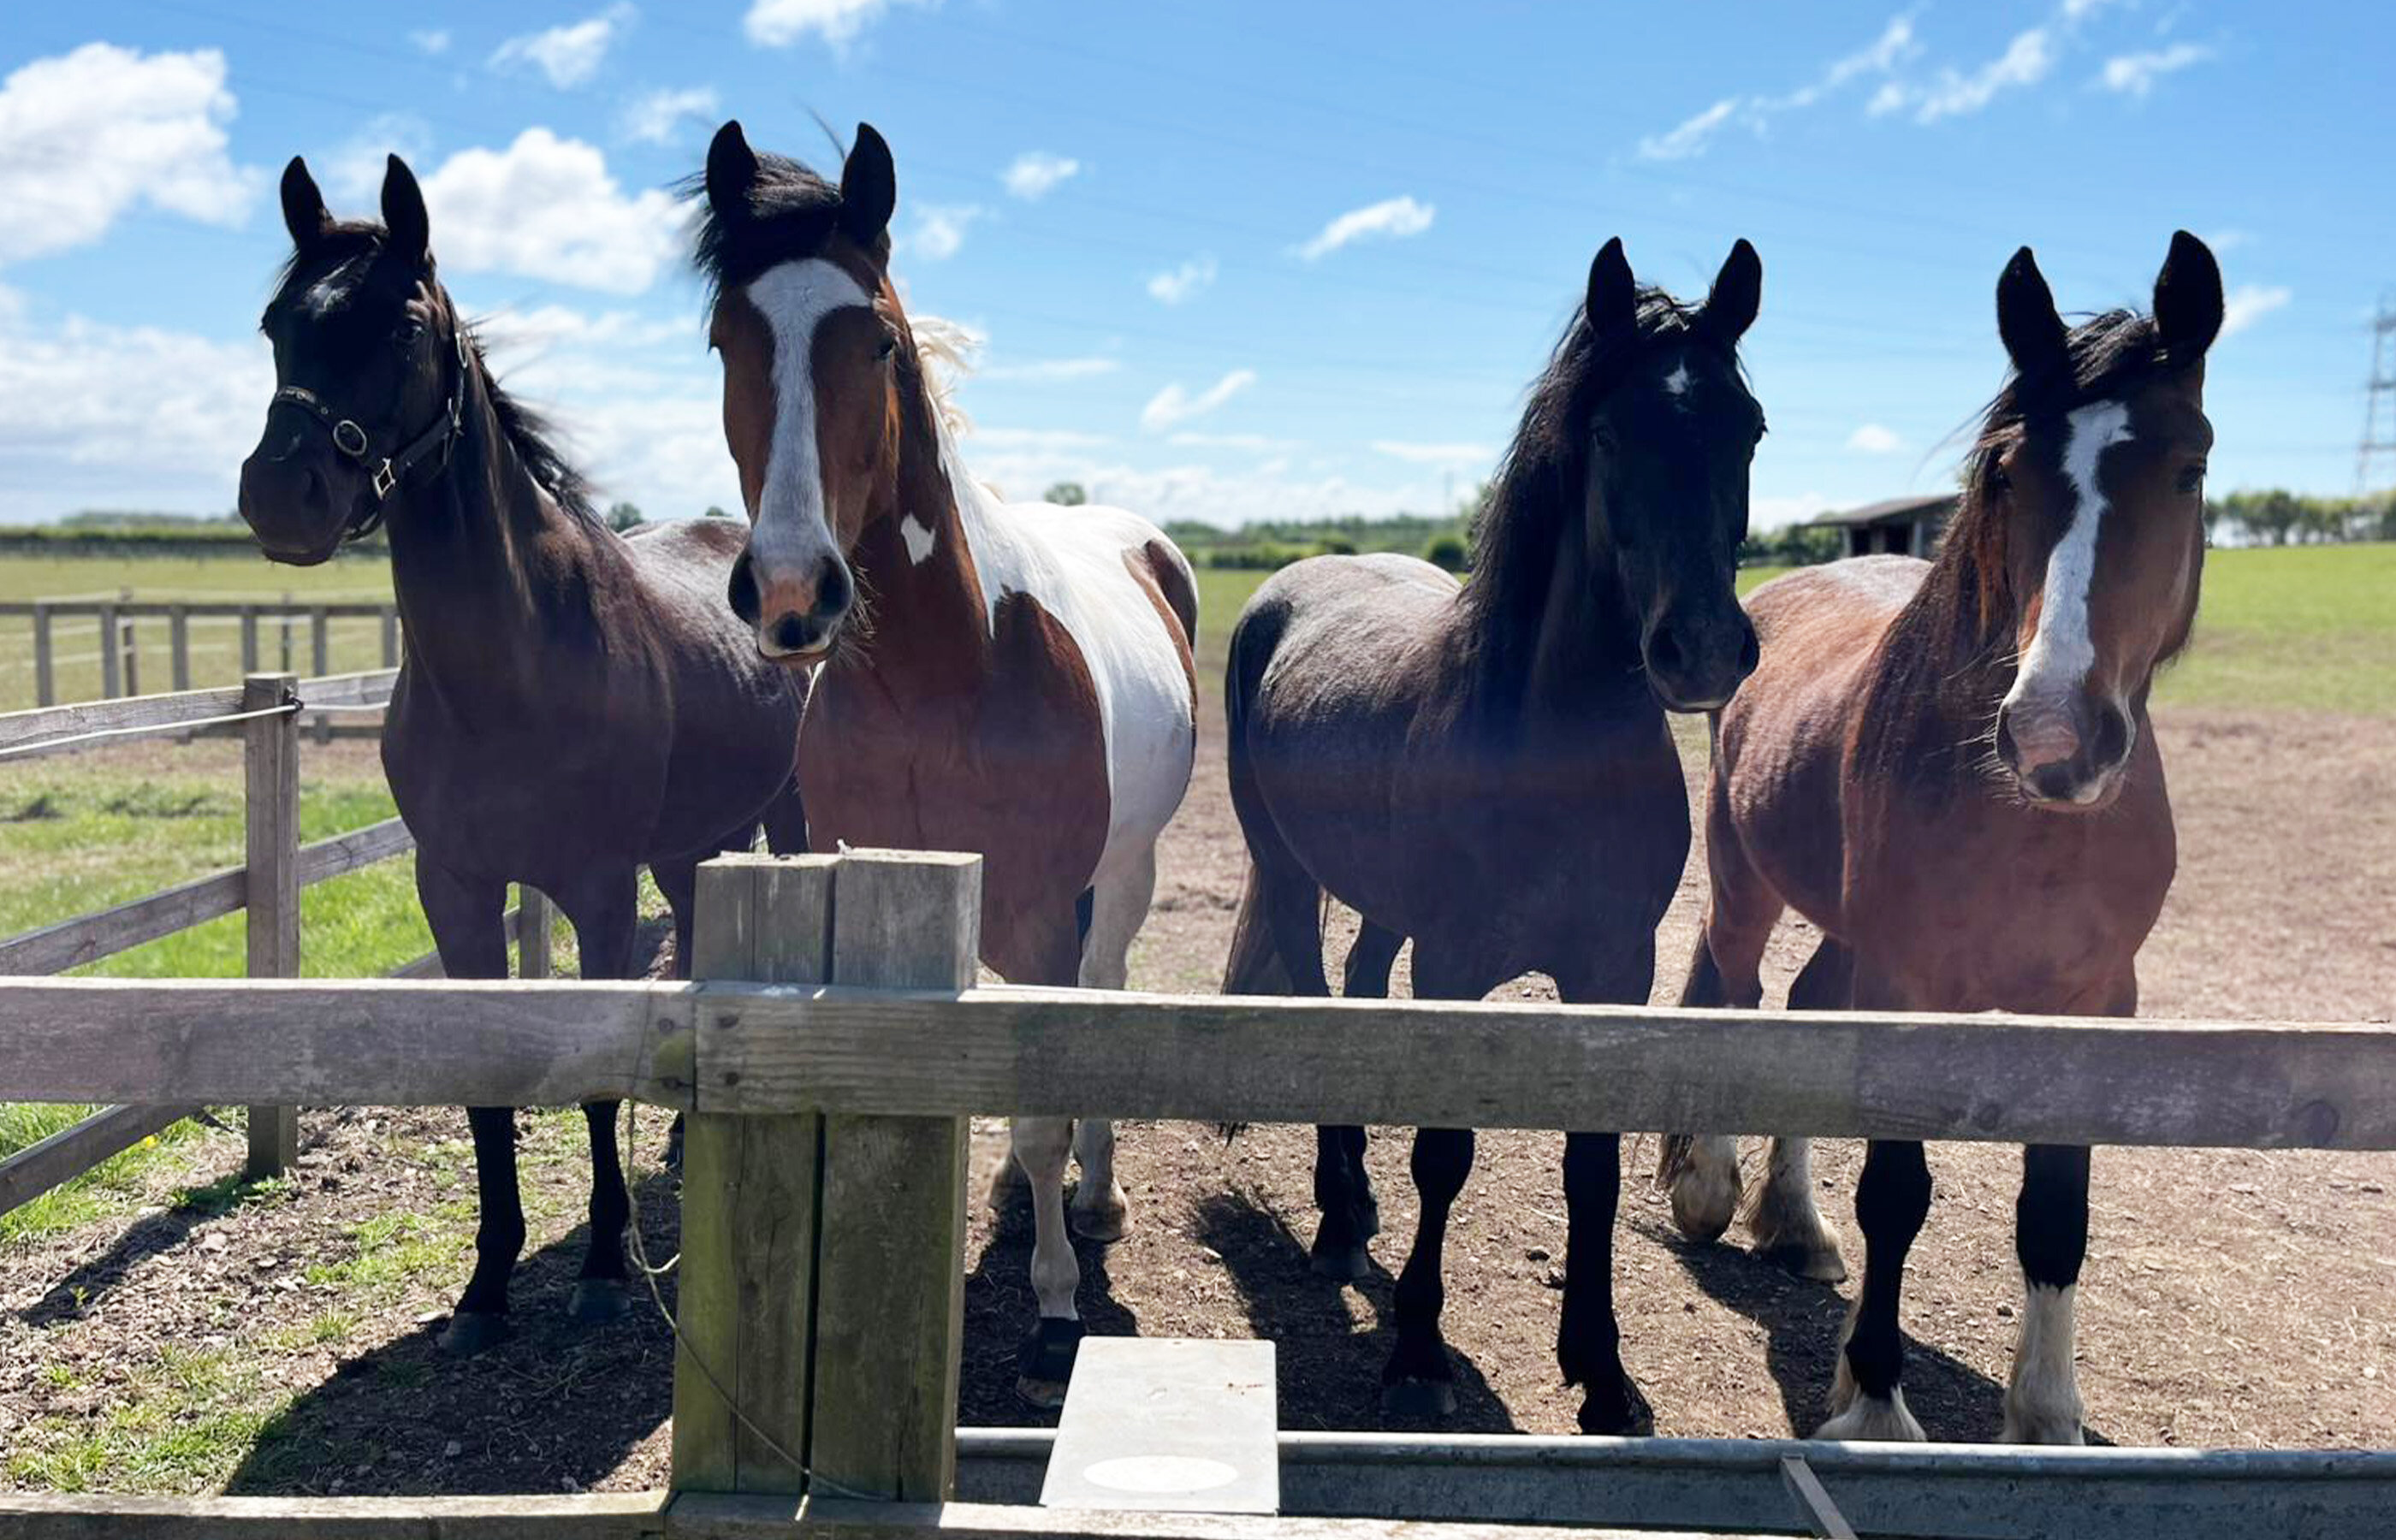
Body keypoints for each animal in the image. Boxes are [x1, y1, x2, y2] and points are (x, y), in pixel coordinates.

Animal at [236, 154, 809, 1355]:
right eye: (276, 325)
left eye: (403, 326)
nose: (279, 494)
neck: (515, 663)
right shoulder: (452, 886)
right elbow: (487, 1084)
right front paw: (486, 1285)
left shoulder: (593, 887)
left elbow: (594, 1077)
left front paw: (598, 1267)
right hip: (692, 846)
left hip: (783, 820)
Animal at [689, 120, 1199, 1404]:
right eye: (726, 340)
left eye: (873, 337)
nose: (790, 592)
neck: (939, 676)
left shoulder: (1036, 909)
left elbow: (1043, 1100)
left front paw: (1057, 1302)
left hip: (1122, 877)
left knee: (1104, 994)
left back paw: (1093, 1199)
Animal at [1220, 236, 1766, 1433]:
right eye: (1609, 433)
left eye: (1747, 426)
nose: (1702, 648)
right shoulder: (1456, 965)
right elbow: (1445, 1153)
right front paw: (1418, 1349)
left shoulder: (1616, 970)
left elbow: (1591, 1166)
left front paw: (1601, 1369)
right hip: (1289, 873)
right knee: (1319, 1000)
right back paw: (1337, 1216)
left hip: (1384, 908)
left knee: (1360, 985)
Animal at [1665, 232, 2223, 1443]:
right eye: (2007, 471)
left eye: (2189, 468)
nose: (2055, 734)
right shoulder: (1907, 985)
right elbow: (1897, 1193)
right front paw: (1873, 1400)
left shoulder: (2097, 1001)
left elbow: (2056, 1208)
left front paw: (2045, 1416)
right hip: (1745, 887)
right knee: (1734, 993)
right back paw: (1710, 1189)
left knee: (1802, 1010)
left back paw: (1795, 1226)